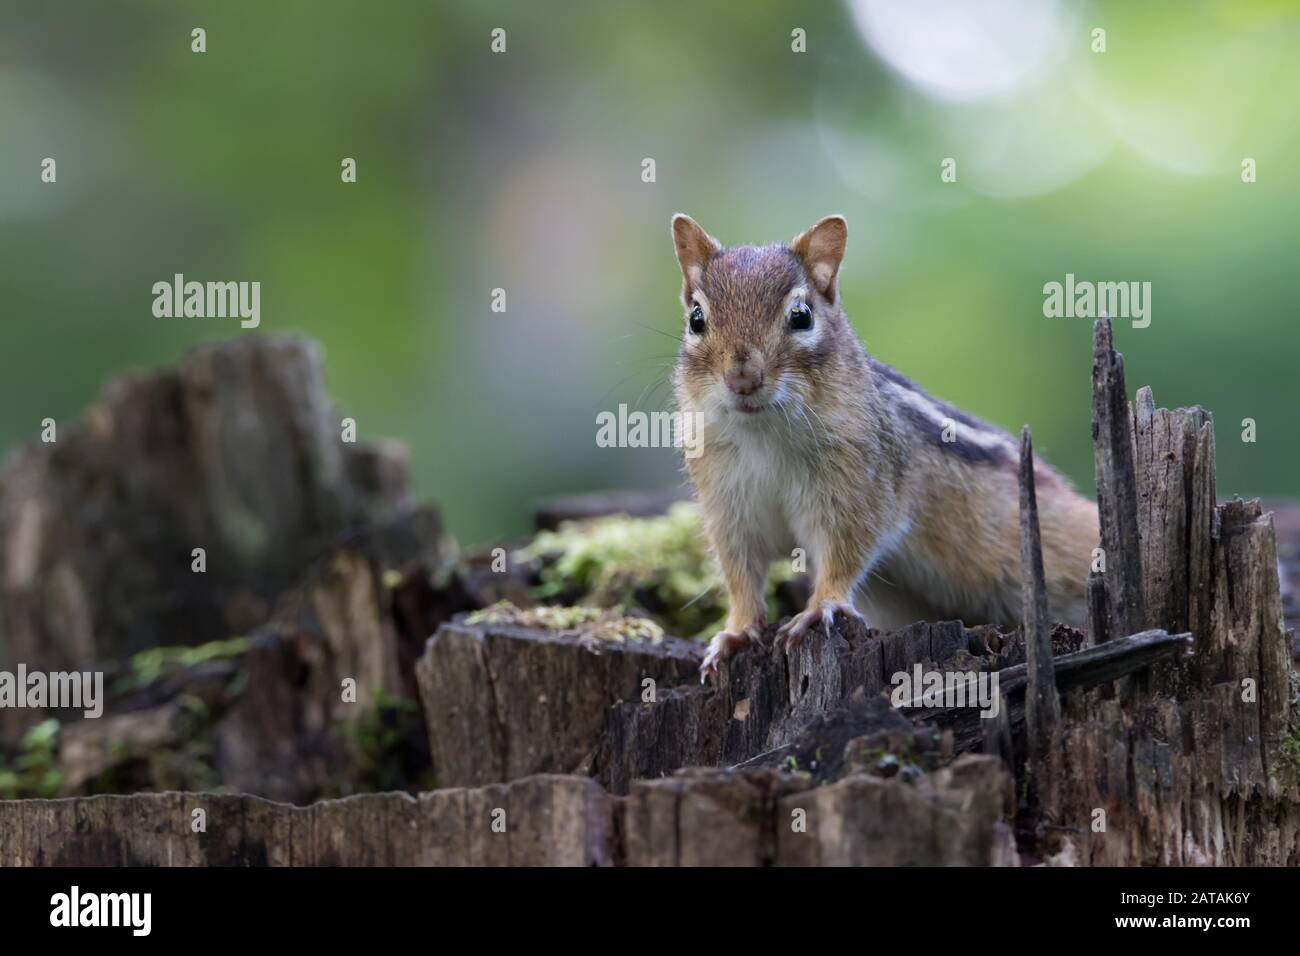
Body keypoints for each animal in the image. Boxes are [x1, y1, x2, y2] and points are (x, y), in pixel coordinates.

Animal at [669, 214, 1100, 679]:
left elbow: (845, 551)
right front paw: (735, 634)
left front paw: (820, 608)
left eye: (801, 316)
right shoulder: (729, 507)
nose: (743, 378)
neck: (763, 432)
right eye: (696, 318)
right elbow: (740, 572)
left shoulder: (861, 490)